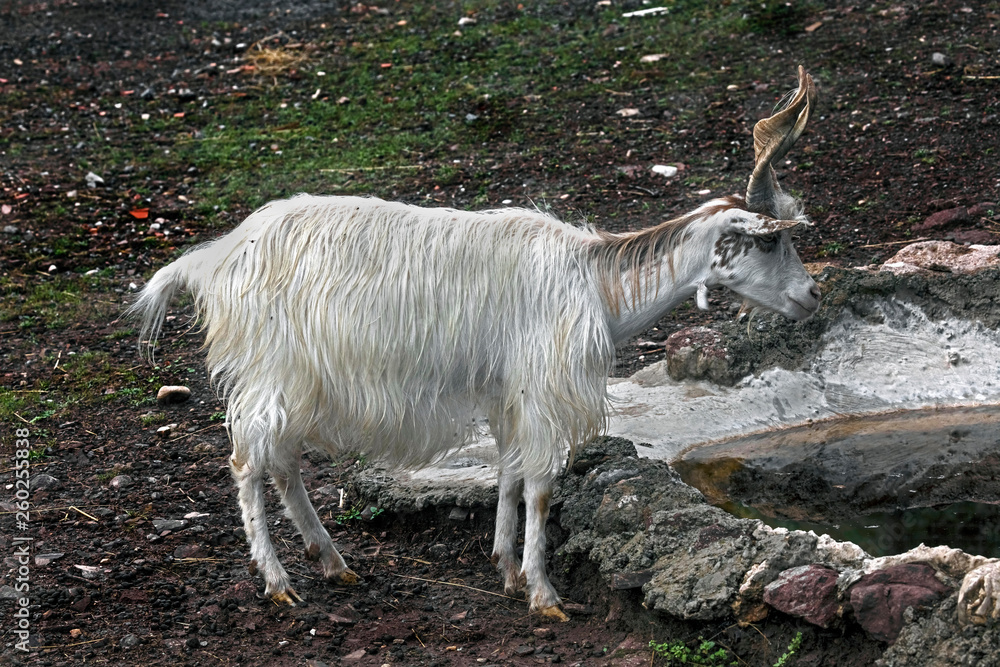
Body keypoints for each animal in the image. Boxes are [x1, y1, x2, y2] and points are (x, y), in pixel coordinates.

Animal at [131, 66, 820, 621]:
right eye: (770, 239)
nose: (811, 296)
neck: (594, 284)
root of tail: (213, 258)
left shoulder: (508, 389)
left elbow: (509, 473)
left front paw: (507, 570)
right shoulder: (545, 386)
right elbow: (540, 483)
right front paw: (545, 594)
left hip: (297, 379)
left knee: (281, 460)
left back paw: (333, 561)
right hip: (272, 368)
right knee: (247, 462)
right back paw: (278, 583)